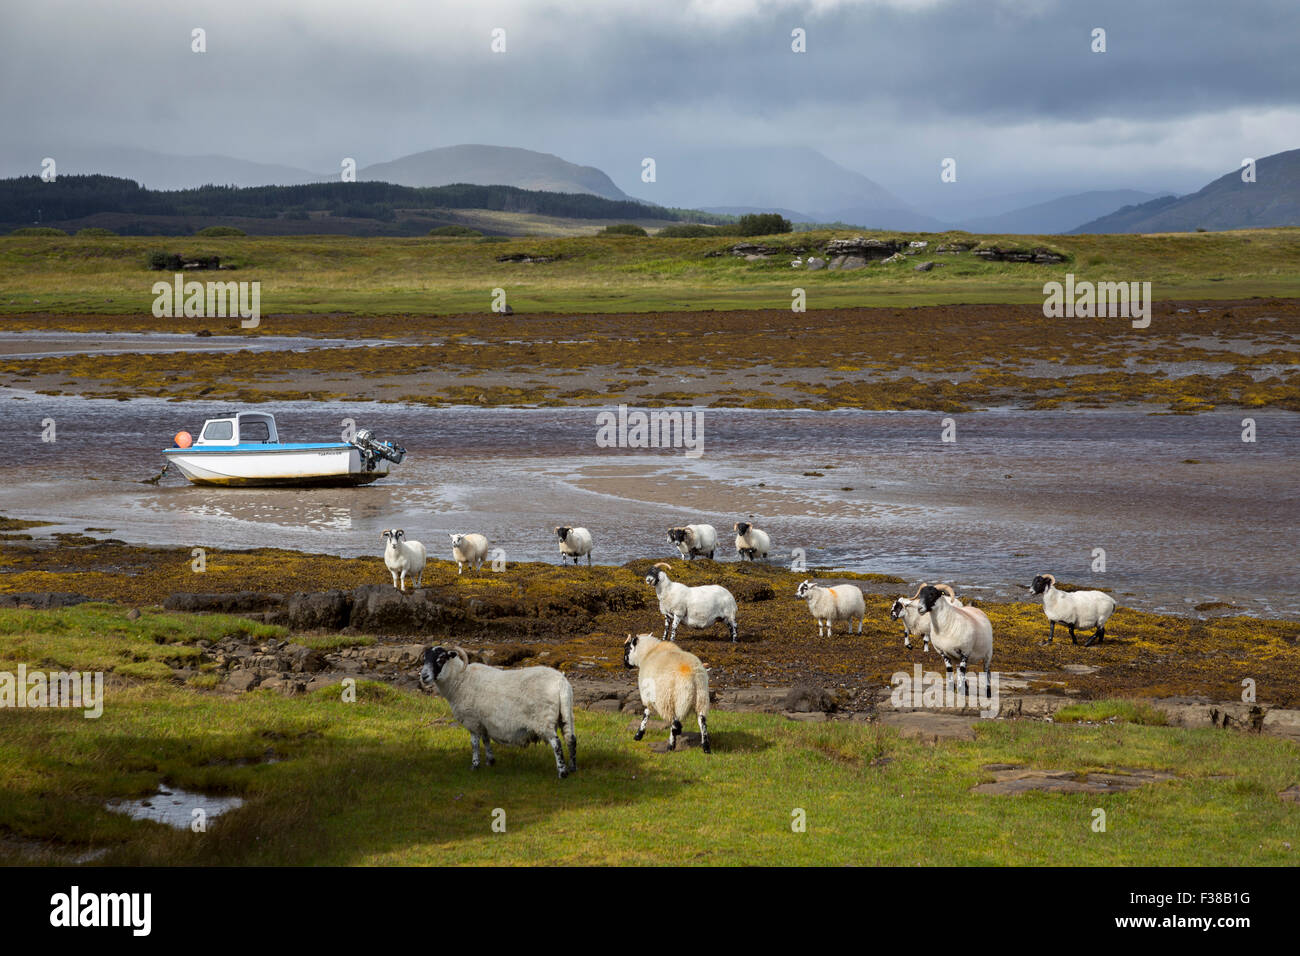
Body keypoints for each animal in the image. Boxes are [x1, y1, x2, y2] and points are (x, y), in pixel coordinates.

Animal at [419, 645, 577, 779]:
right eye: (424, 659)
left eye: (441, 658)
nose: (424, 676)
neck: (460, 680)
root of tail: (561, 682)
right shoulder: (483, 721)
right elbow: (486, 740)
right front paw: (490, 761)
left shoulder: (472, 721)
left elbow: (474, 743)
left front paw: (474, 766)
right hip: (566, 713)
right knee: (571, 739)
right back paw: (572, 768)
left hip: (544, 719)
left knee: (557, 743)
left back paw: (562, 772)